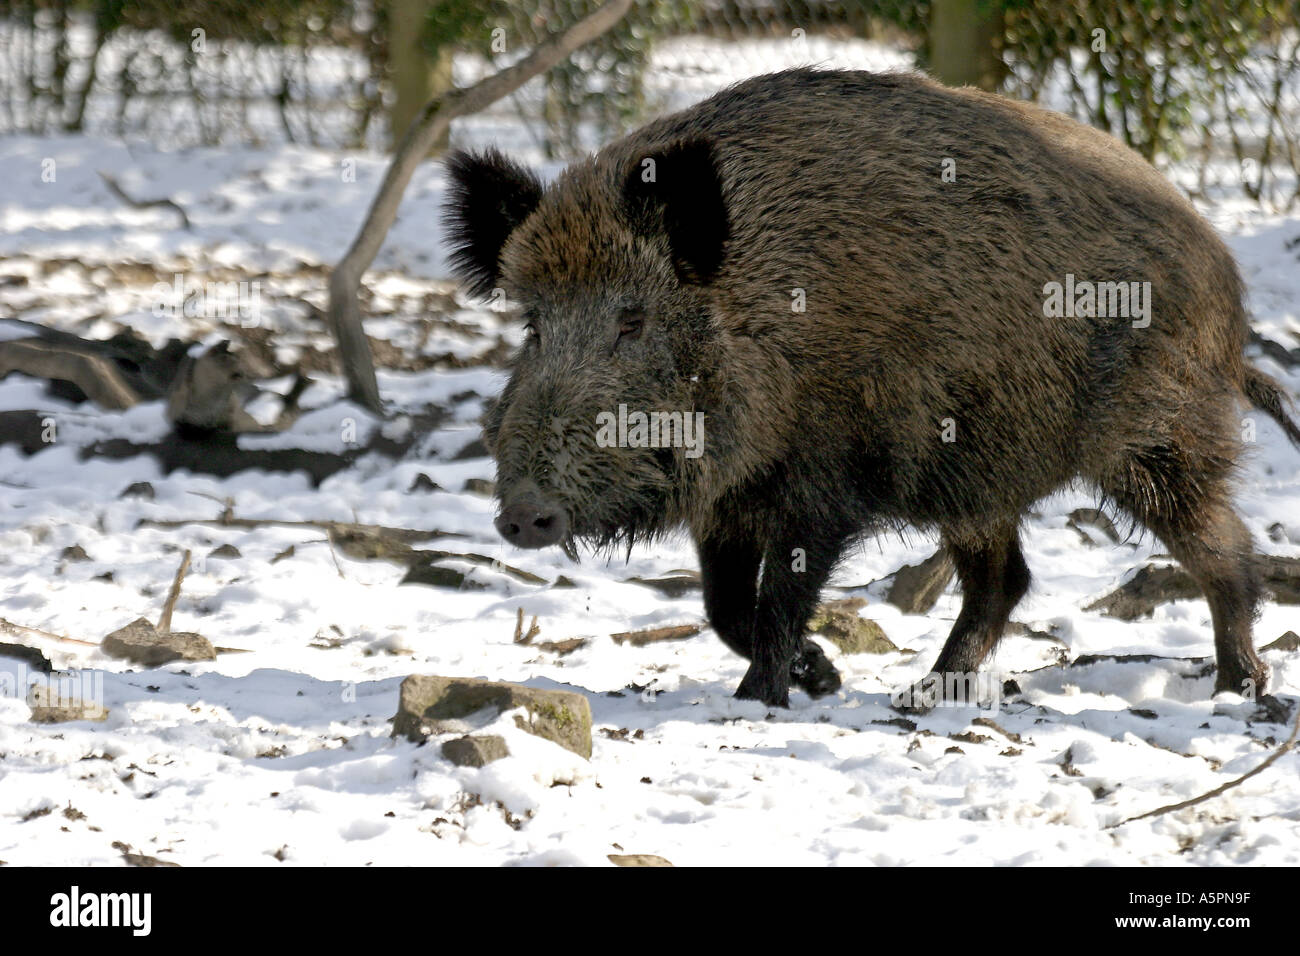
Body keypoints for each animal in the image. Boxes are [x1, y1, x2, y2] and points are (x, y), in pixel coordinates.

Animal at [442, 68, 1300, 708]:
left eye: (632, 318)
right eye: (532, 325)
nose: (521, 513)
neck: (759, 317)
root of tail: (1227, 289)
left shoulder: (827, 476)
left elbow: (781, 595)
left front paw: (762, 698)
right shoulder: (730, 494)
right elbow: (723, 604)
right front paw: (821, 676)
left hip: (1156, 434)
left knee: (1225, 551)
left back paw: (1240, 688)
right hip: (975, 471)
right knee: (1005, 578)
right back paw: (921, 695)